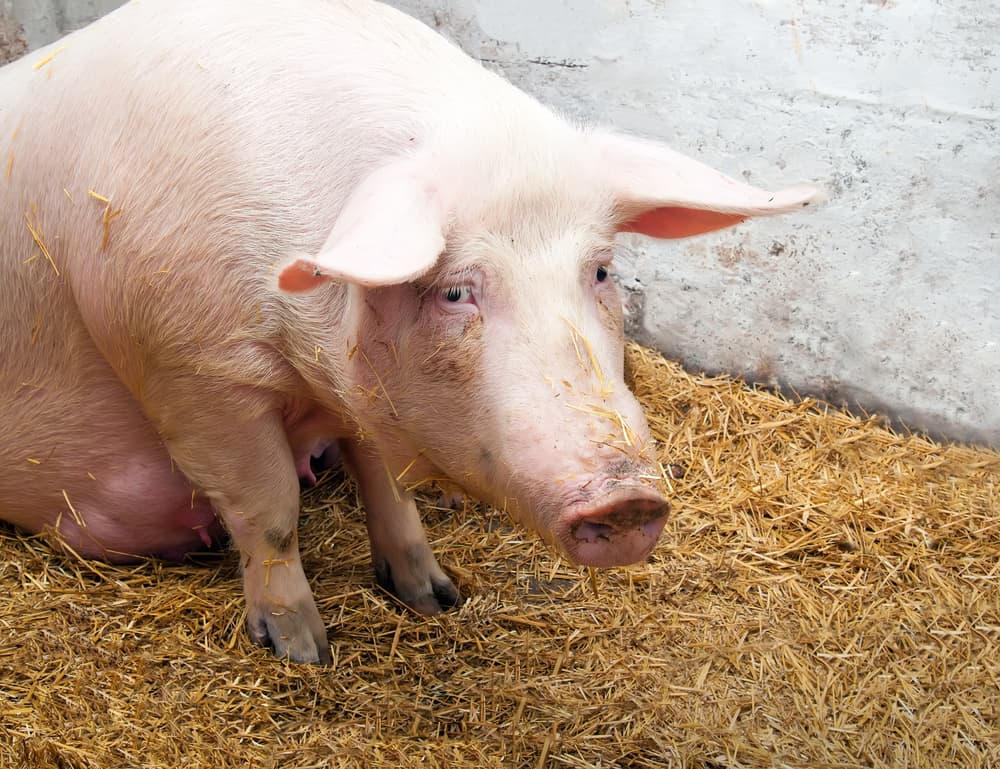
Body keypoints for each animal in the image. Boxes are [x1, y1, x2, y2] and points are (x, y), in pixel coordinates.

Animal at [0, 0, 820, 663]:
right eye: (455, 289)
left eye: (600, 270)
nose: (627, 501)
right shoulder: (191, 367)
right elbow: (269, 511)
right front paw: (305, 652)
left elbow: (384, 482)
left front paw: (436, 596)